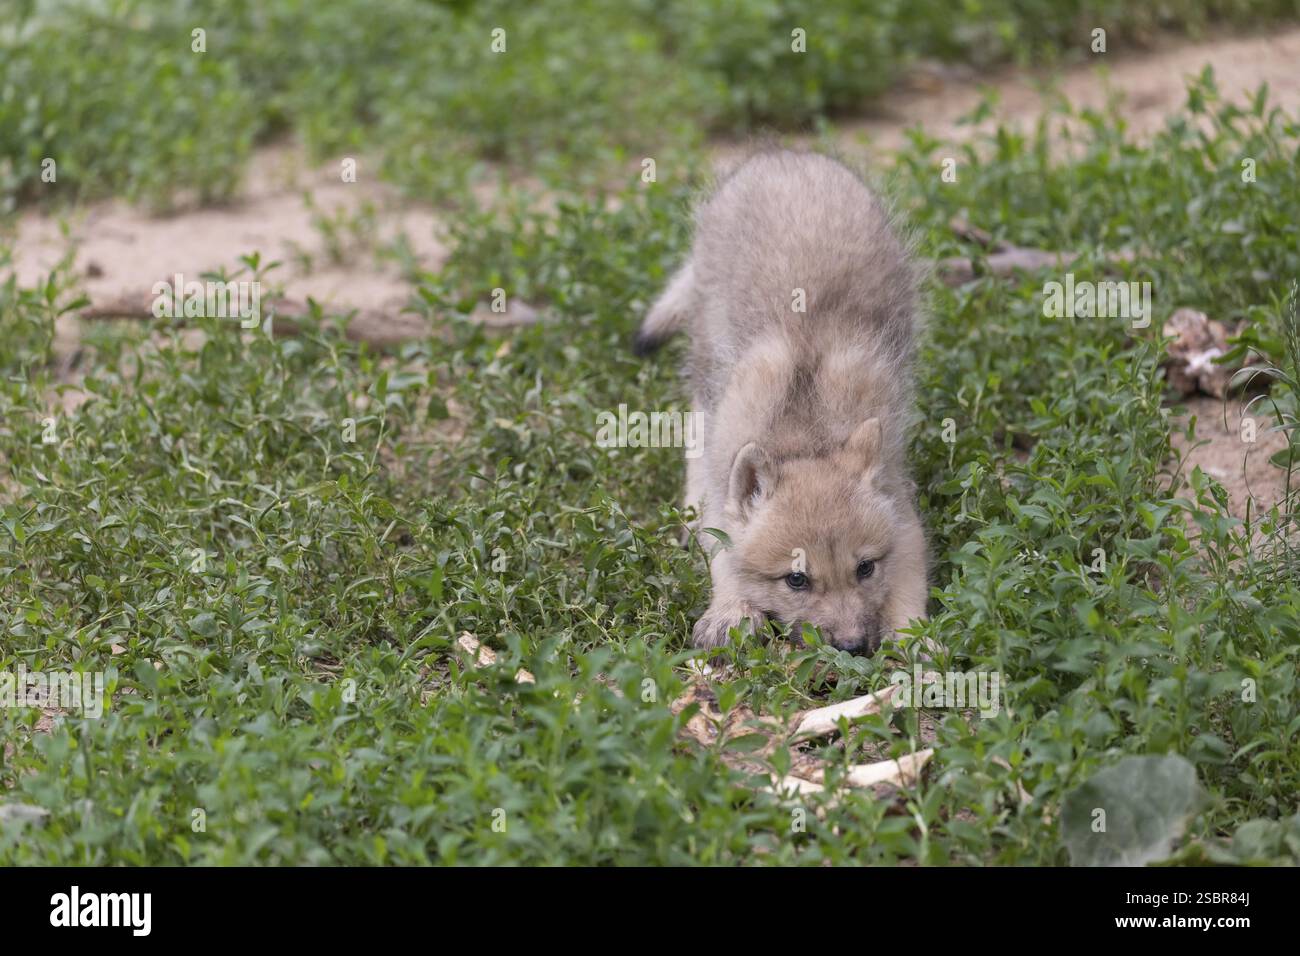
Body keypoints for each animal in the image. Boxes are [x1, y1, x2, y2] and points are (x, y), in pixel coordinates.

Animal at [635, 149, 928, 653]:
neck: (805, 435)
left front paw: (916, 639)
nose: (852, 647)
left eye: (865, 569)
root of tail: (782, 155)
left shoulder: (901, 507)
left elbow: (909, 583)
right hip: (707, 354)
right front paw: (731, 612)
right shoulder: (726, 498)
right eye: (796, 580)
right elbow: (725, 557)